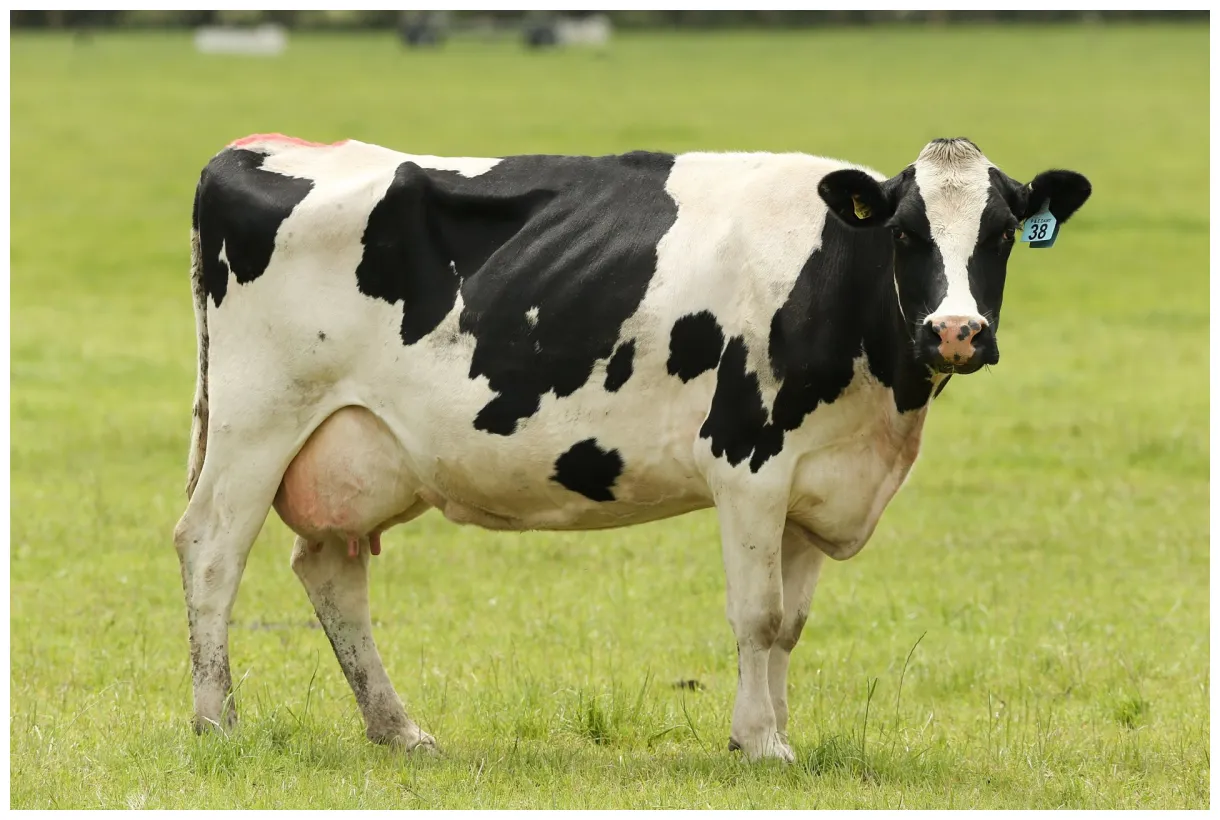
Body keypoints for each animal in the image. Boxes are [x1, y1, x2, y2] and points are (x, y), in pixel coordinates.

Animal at [173, 134, 1091, 762]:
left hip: (357, 449)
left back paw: (398, 729)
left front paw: (778, 730)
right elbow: (757, 615)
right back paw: (217, 721)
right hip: (257, 422)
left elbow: (791, 625)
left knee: (331, 572)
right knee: (211, 549)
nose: (956, 330)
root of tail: (254, 149)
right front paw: (758, 742)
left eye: (1002, 233)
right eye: (905, 234)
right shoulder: (749, 462)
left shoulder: (816, 480)